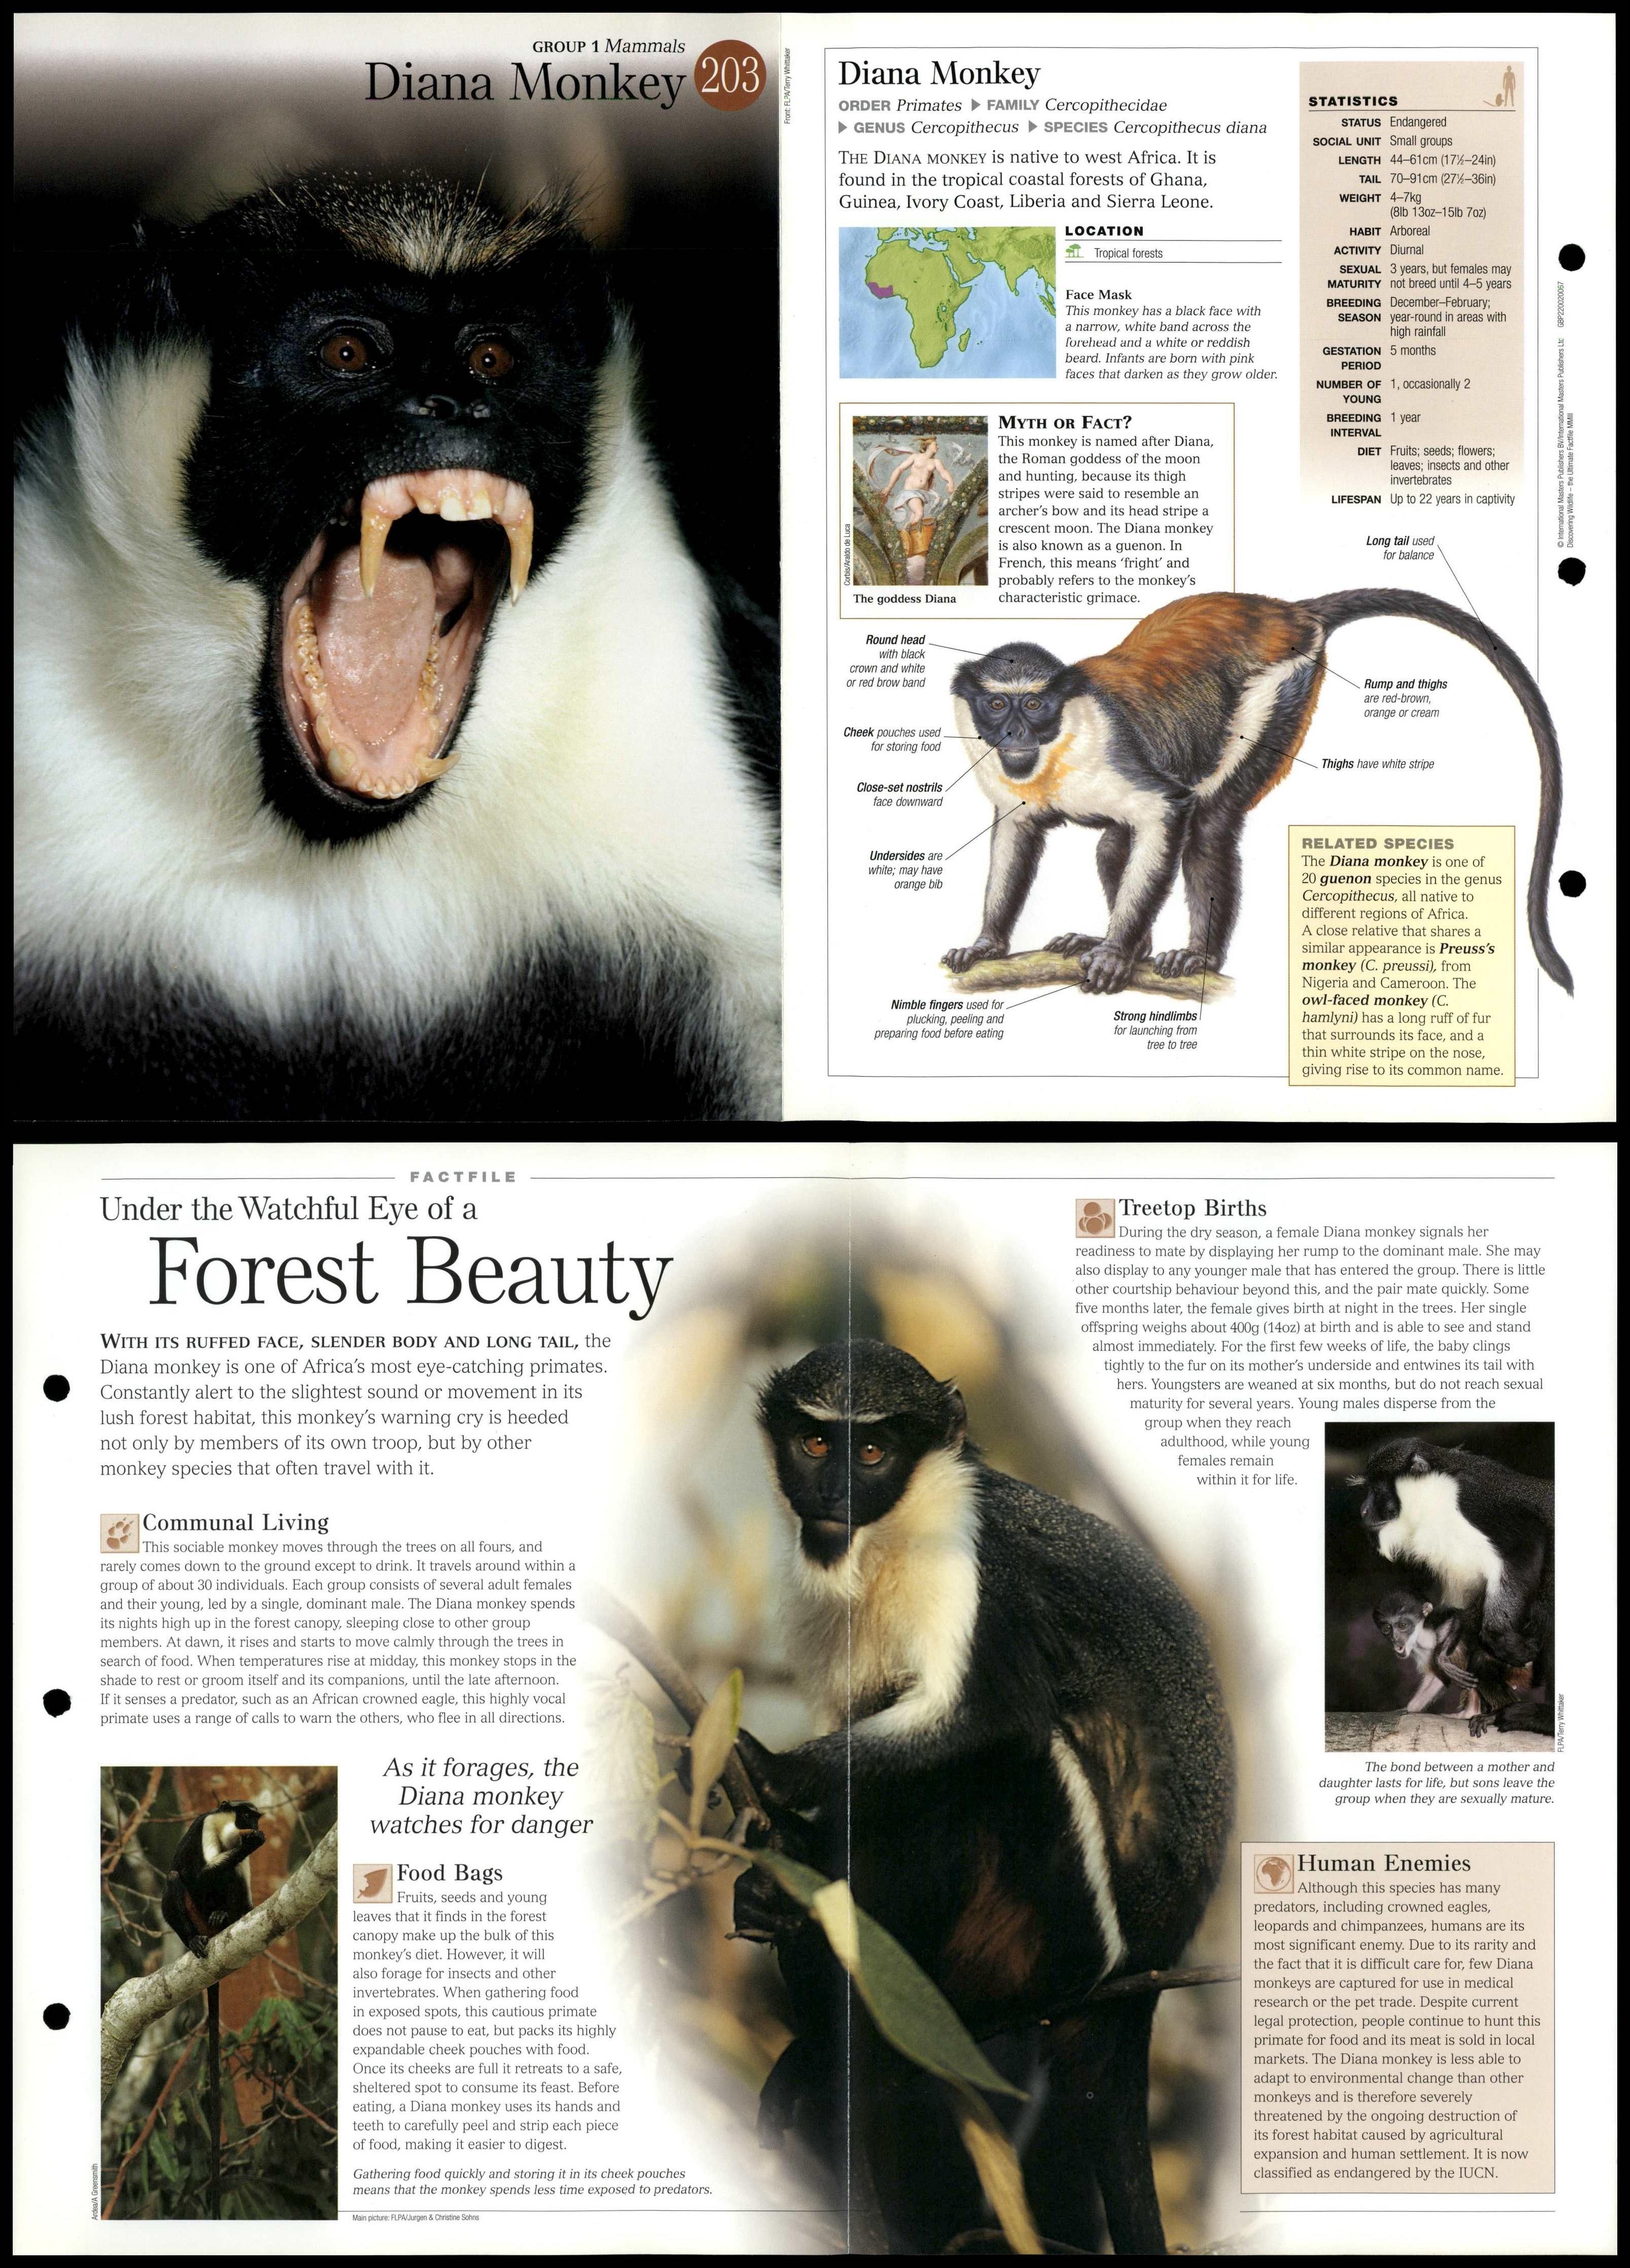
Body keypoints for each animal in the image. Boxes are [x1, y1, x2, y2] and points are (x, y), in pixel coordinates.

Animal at [734, 1339, 1234, 2255]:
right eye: (815, 1442)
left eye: (872, 1450)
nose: (832, 1497)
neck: (892, 1530)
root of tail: (1153, 1967)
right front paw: (776, 1869)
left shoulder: (973, 1563)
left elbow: (991, 1719)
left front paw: (777, 1774)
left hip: (1056, 1934)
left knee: (1009, 1762)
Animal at [943, 591, 1571, 996]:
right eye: (997, 704)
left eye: (1034, 705)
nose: (1015, 734)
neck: (1059, 744)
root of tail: (1286, 611)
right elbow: (1017, 834)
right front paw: (988, 946)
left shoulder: (1113, 751)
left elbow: (1167, 812)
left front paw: (1118, 952)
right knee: (1116, 845)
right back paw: (1134, 945)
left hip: (1281, 688)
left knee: (1207, 825)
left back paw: (1194, 954)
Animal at [1354, 1437, 1553, 1737]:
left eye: (1377, 1490)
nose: (1364, 1511)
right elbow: (1461, 1612)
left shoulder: (1474, 1501)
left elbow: (1527, 1542)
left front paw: (1503, 1639)